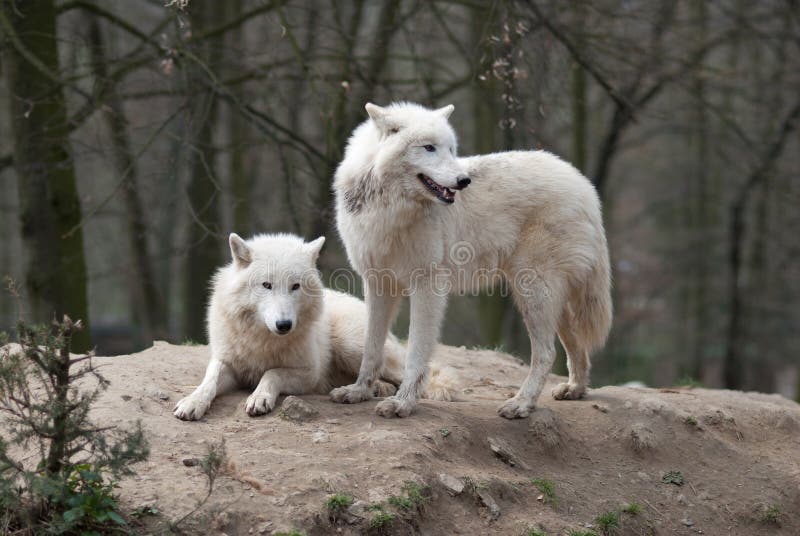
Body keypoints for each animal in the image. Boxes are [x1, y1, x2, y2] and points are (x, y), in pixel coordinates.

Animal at [173, 232, 454, 421]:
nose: (284, 325)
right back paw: (376, 388)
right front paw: (192, 403)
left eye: (295, 286)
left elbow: (272, 373)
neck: (263, 340)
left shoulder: (311, 373)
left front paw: (259, 397)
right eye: (266, 285)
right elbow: (209, 380)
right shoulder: (227, 362)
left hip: (350, 346)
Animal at [330, 102, 612, 419]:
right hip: (551, 299)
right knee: (574, 346)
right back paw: (574, 389)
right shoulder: (378, 283)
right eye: (429, 147)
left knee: (546, 353)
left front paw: (403, 403)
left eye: (452, 149)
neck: (390, 209)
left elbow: (416, 352)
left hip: (532, 292)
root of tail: (584, 186)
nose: (464, 181)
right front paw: (359, 391)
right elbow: (371, 348)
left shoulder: (427, 285)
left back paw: (521, 404)